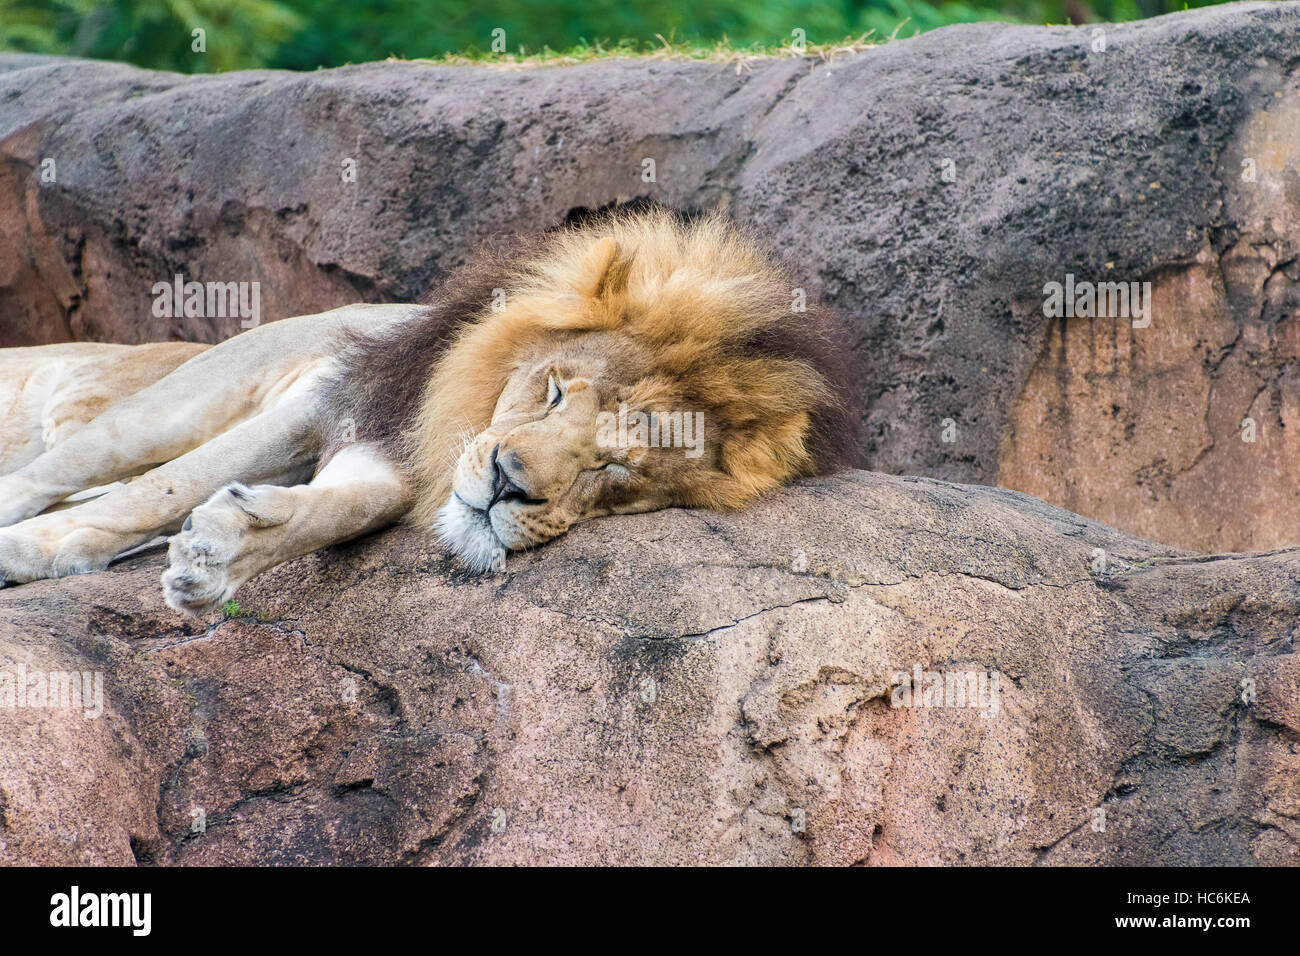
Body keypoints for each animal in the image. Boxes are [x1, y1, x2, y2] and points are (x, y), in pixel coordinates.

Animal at [0, 207, 860, 613]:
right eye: (554, 390)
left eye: (616, 466)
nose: (509, 485)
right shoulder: (333, 402)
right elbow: (166, 487)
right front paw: (36, 548)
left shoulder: (390, 470)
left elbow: (332, 512)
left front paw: (223, 552)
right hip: (174, 401)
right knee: (72, 471)